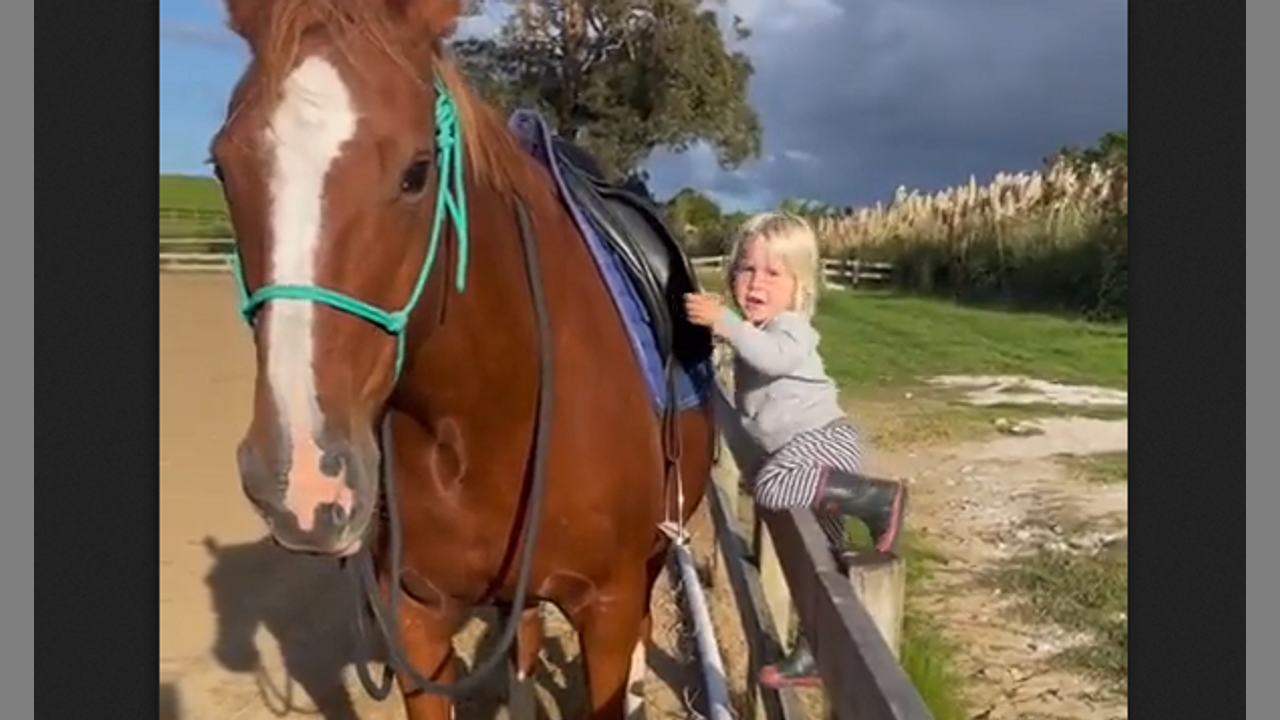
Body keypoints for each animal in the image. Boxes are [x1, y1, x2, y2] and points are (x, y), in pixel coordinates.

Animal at [206, 1, 720, 720]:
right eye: (222, 168)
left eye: (417, 172)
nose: (302, 479)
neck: (488, 414)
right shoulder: (417, 620)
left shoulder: (609, 613)